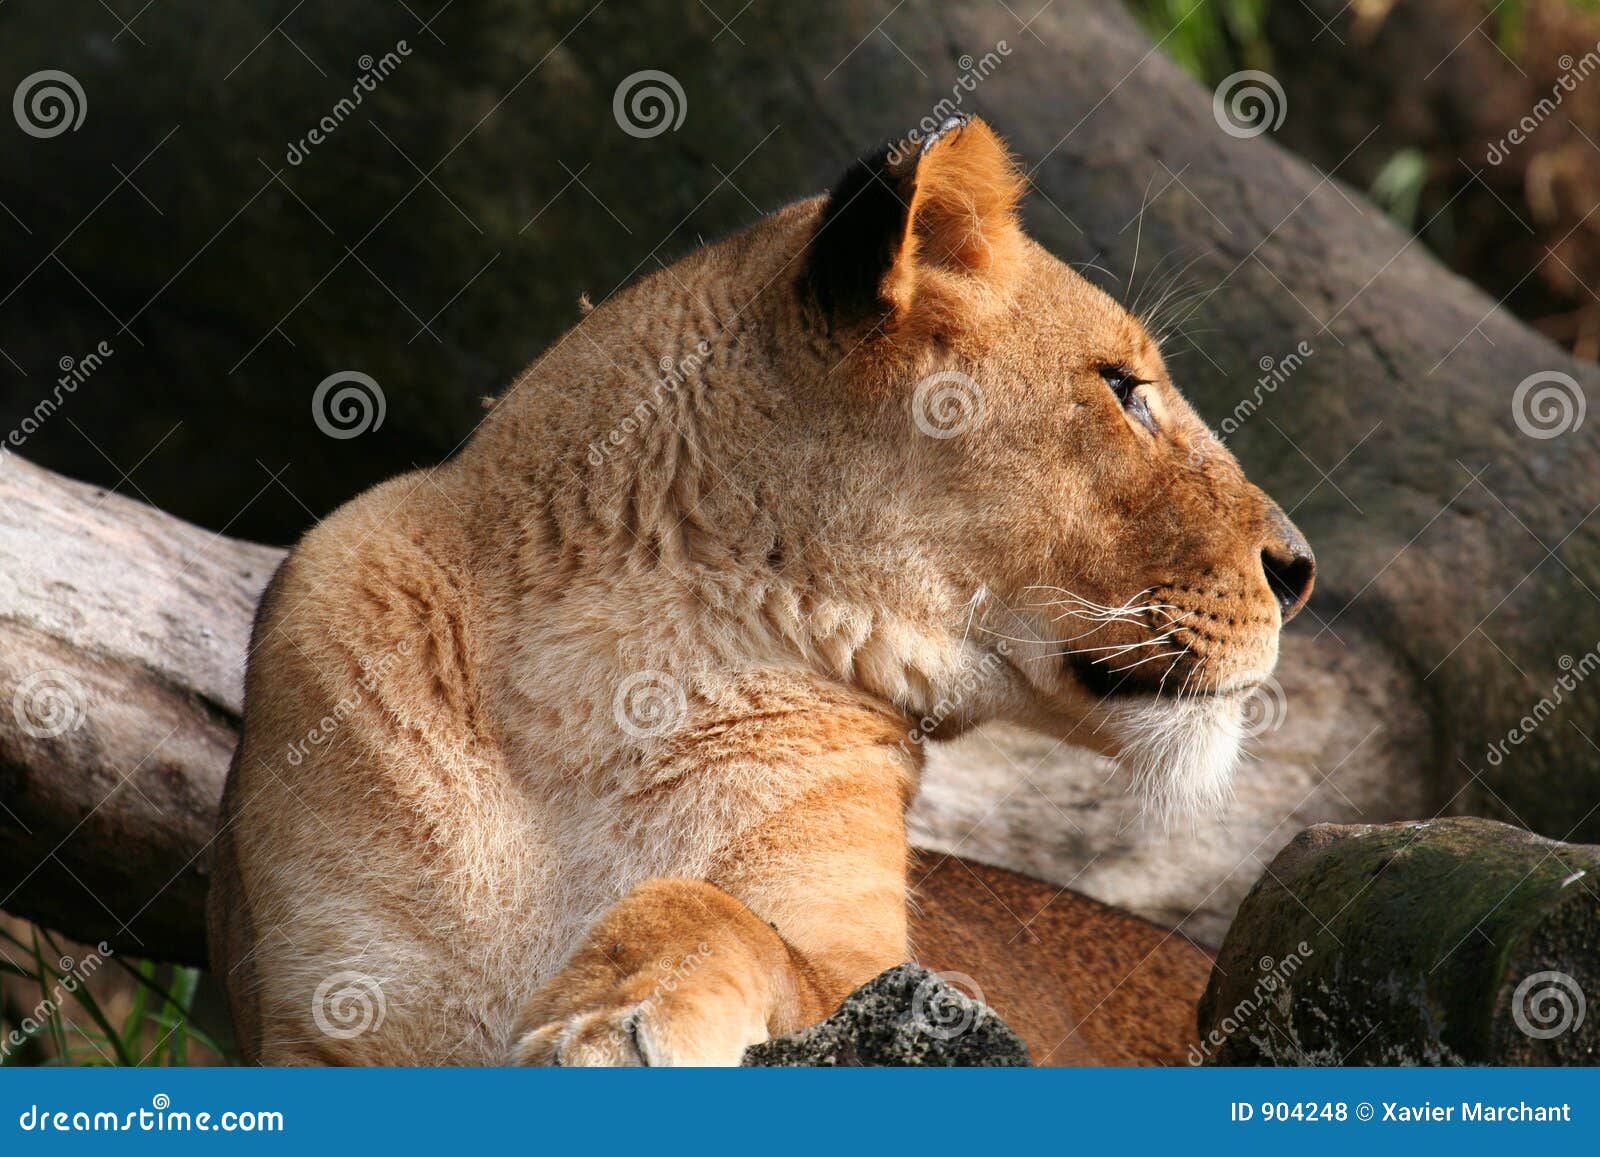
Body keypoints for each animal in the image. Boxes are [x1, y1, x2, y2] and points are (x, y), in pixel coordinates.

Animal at [208, 116, 1313, 1066]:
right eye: (1124, 388)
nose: (1300, 571)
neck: (597, 700)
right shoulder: (320, 1022)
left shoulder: (902, 985)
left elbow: (713, 907)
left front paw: (612, 1019)